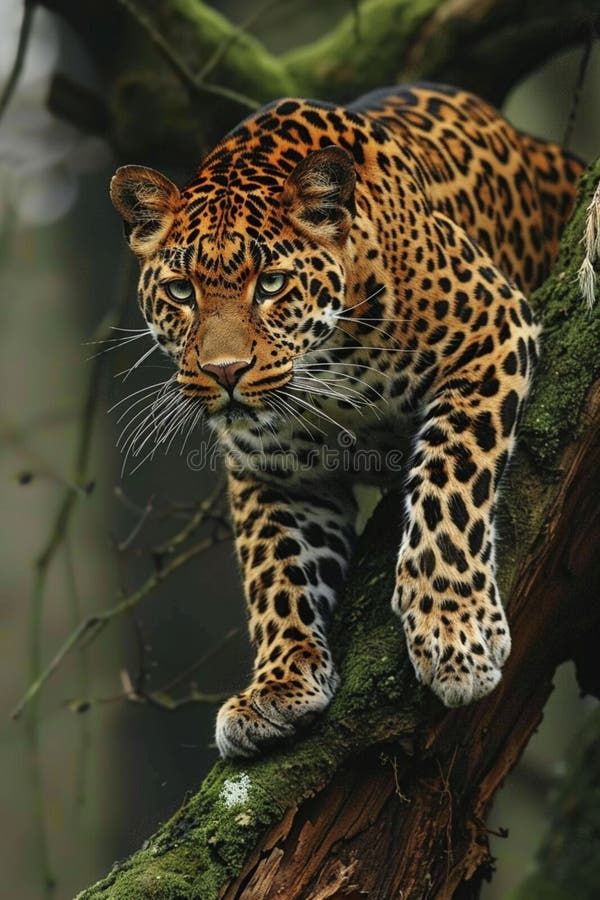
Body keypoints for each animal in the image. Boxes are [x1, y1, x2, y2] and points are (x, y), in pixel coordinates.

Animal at [110, 83, 583, 758]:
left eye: (271, 284)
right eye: (180, 292)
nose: (226, 372)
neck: (330, 369)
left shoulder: (491, 328)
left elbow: (449, 484)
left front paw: (454, 632)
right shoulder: (274, 470)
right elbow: (275, 568)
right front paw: (278, 684)